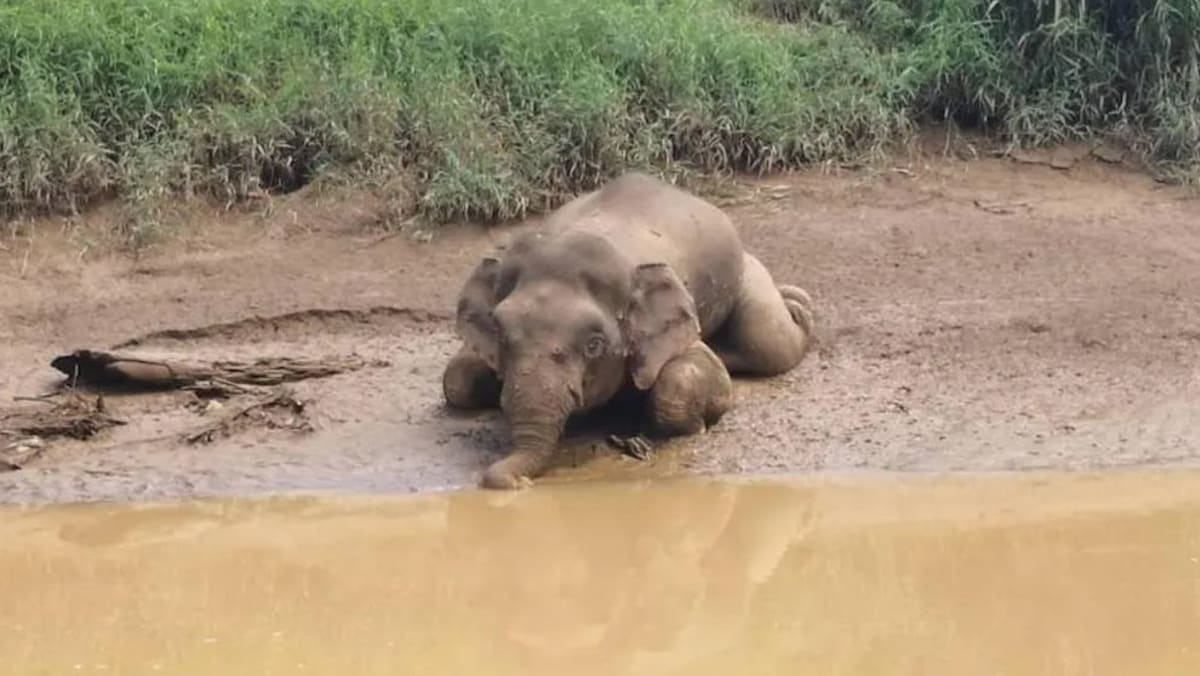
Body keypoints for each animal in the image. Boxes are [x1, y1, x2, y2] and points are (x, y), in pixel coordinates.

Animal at [442, 172, 815, 489]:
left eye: (594, 344)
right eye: (499, 333)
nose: (520, 483)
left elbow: (686, 379)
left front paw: (696, 427)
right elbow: (456, 379)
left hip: (744, 274)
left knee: (768, 340)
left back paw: (799, 306)